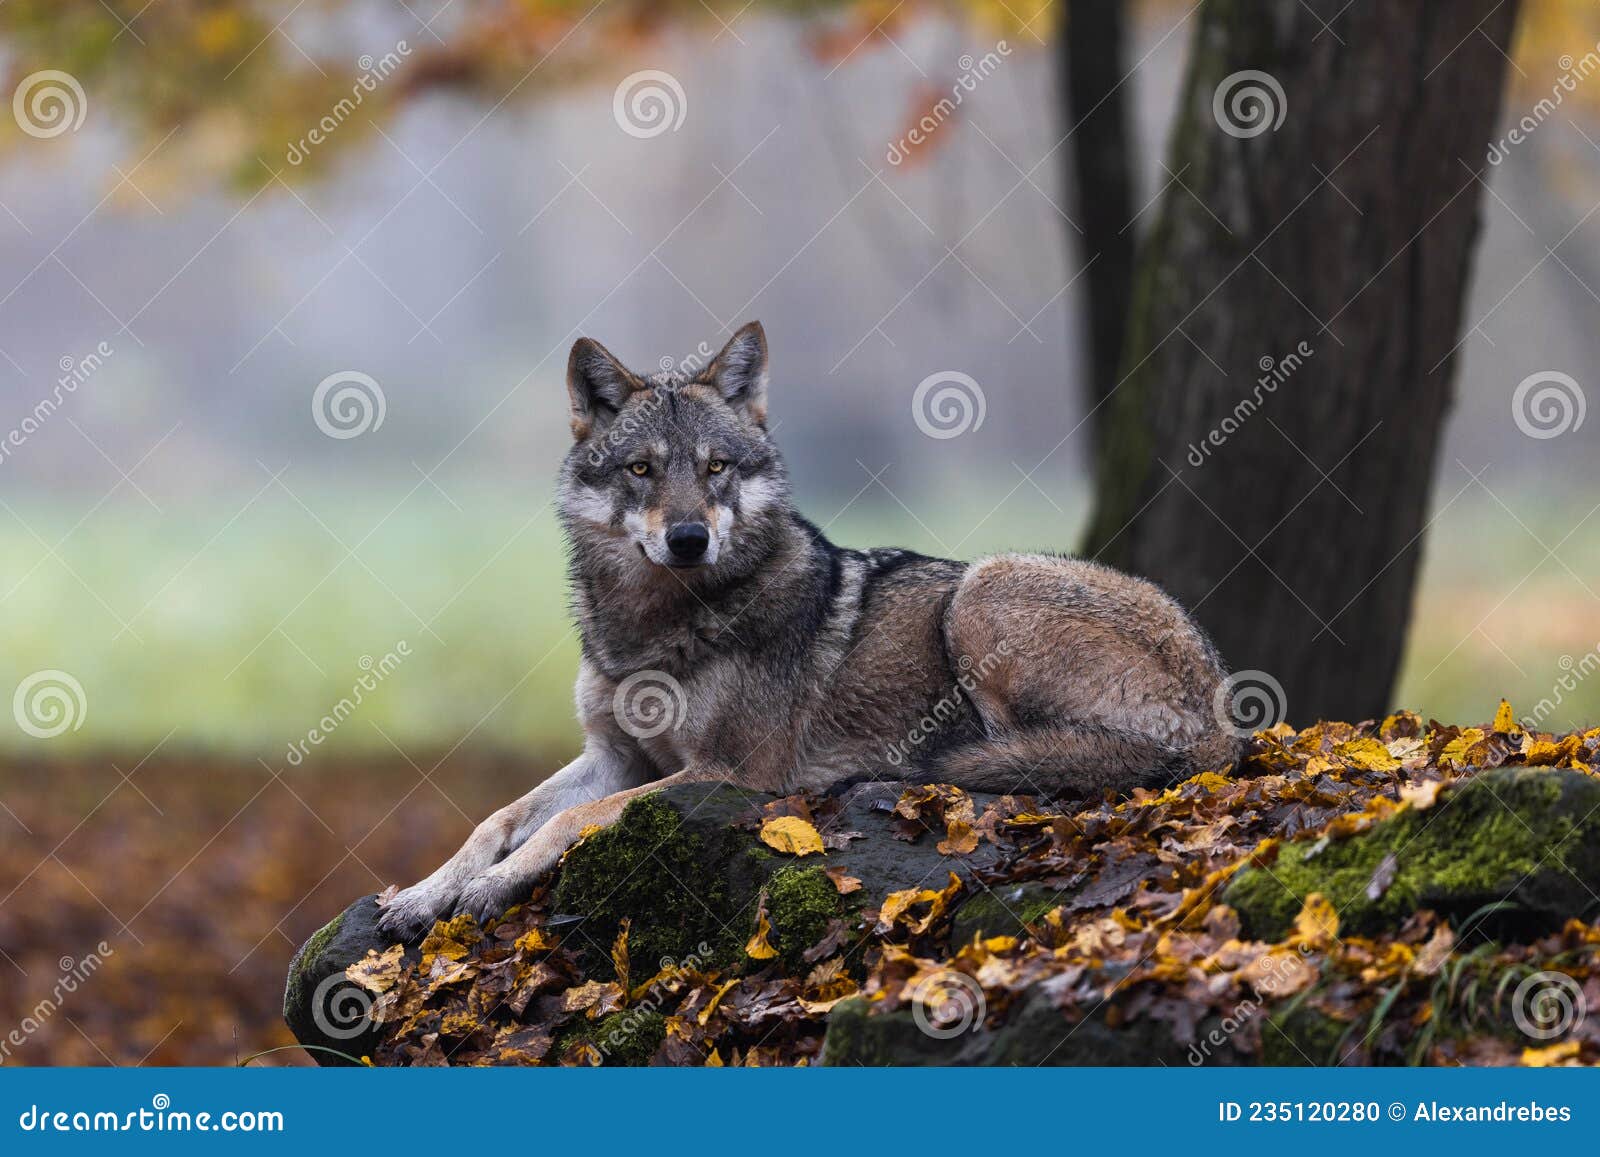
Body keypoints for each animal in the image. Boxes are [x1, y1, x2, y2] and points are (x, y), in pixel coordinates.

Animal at [377, 322, 1241, 938]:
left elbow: (568, 820)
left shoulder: (727, 773)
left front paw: (491, 885)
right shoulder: (615, 755)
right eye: (642, 470)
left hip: (980, 590)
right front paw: (423, 892)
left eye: (716, 466)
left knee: (1040, 760)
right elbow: (498, 817)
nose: (688, 537)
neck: (650, 629)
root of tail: (1223, 711)